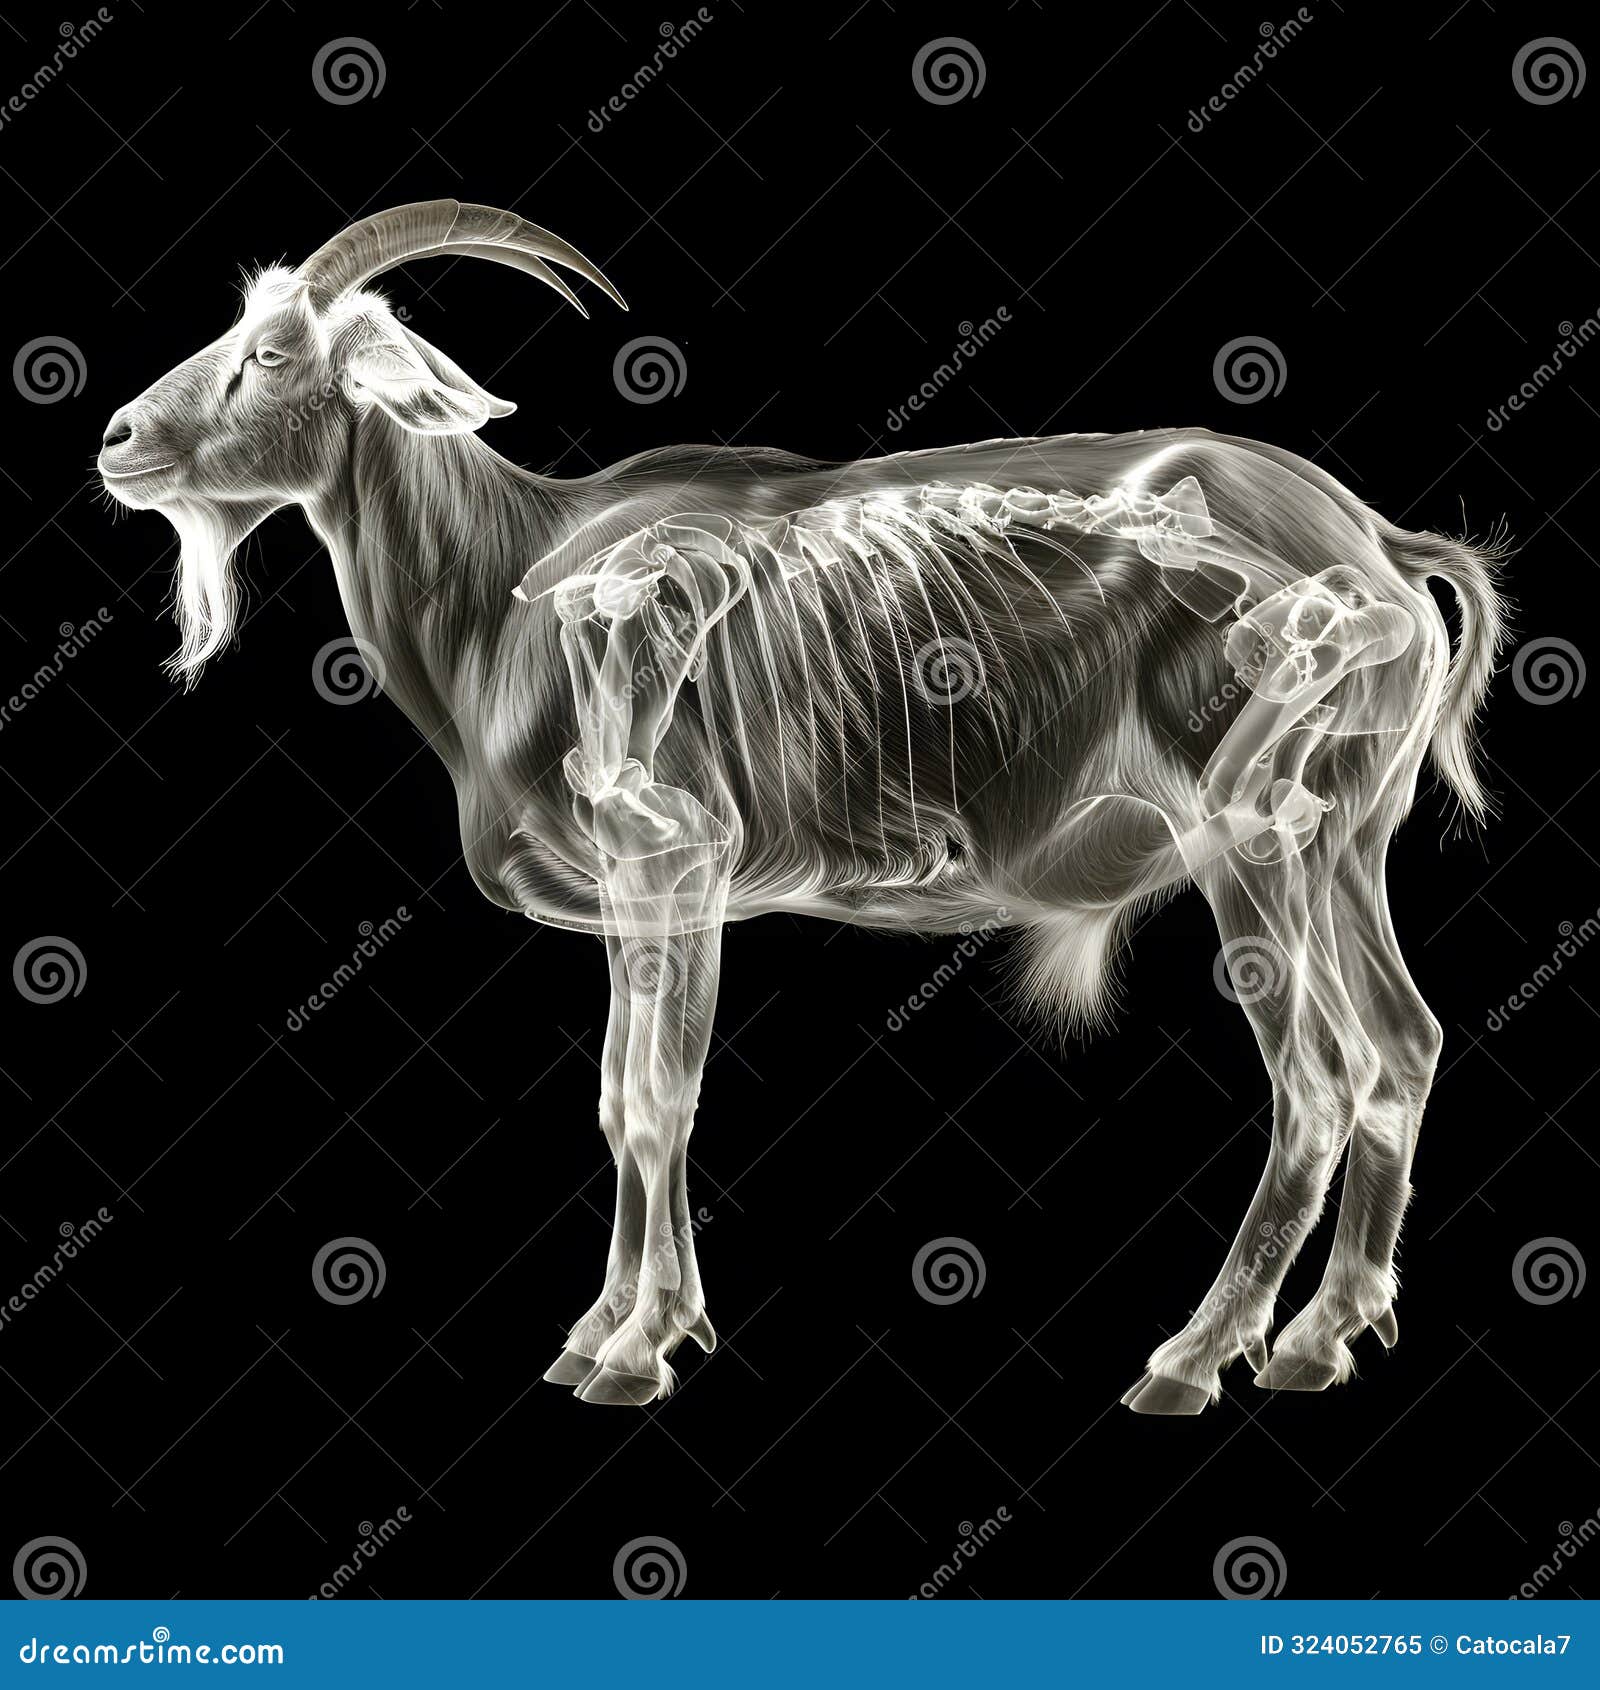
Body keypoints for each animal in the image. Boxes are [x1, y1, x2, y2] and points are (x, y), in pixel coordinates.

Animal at [100, 201, 1506, 1413]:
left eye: (272, 353)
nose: (115, 440)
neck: (515, 590)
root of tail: (1378, 549)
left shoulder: (675, 860)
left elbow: (656, 1096)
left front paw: (636, 1351)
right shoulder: (636, 905)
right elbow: (616, 1095)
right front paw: (610, 1330)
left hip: (1250, 840)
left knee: (1319, 1077)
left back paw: (1192, 1359)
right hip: (1344, 844)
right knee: (1403, 1044)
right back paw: (1321, 1339)